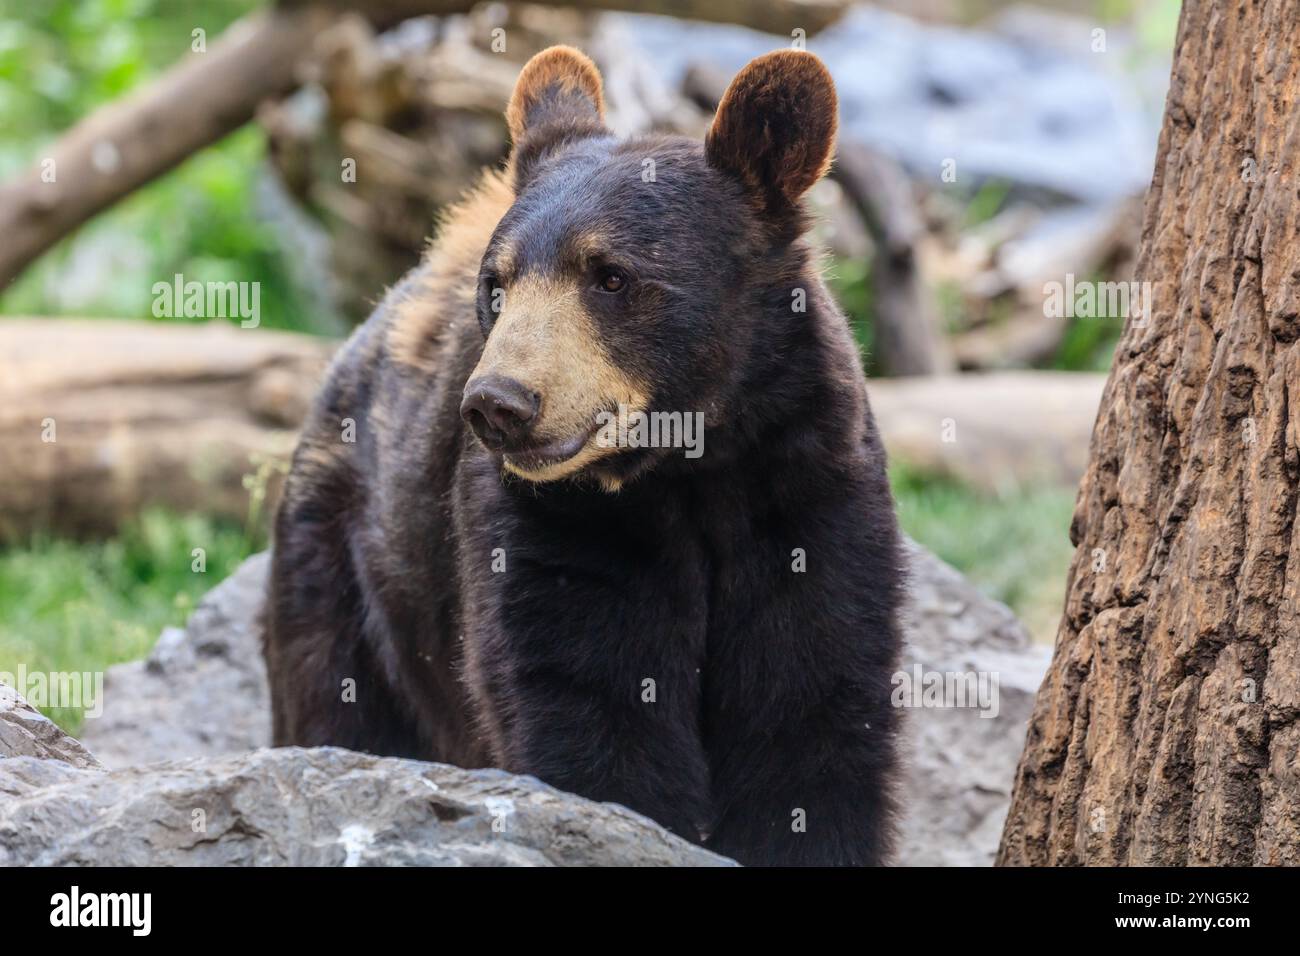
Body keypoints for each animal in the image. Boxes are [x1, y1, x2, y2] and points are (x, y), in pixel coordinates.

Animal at [264, 45, 905, 866]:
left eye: (612, 275)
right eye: (496, 285)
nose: (500, 403)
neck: (689, 463)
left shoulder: (808, 483)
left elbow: (810, 701)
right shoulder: (554, 523)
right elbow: (585, 694)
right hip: (345, 557)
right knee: (335, 701)